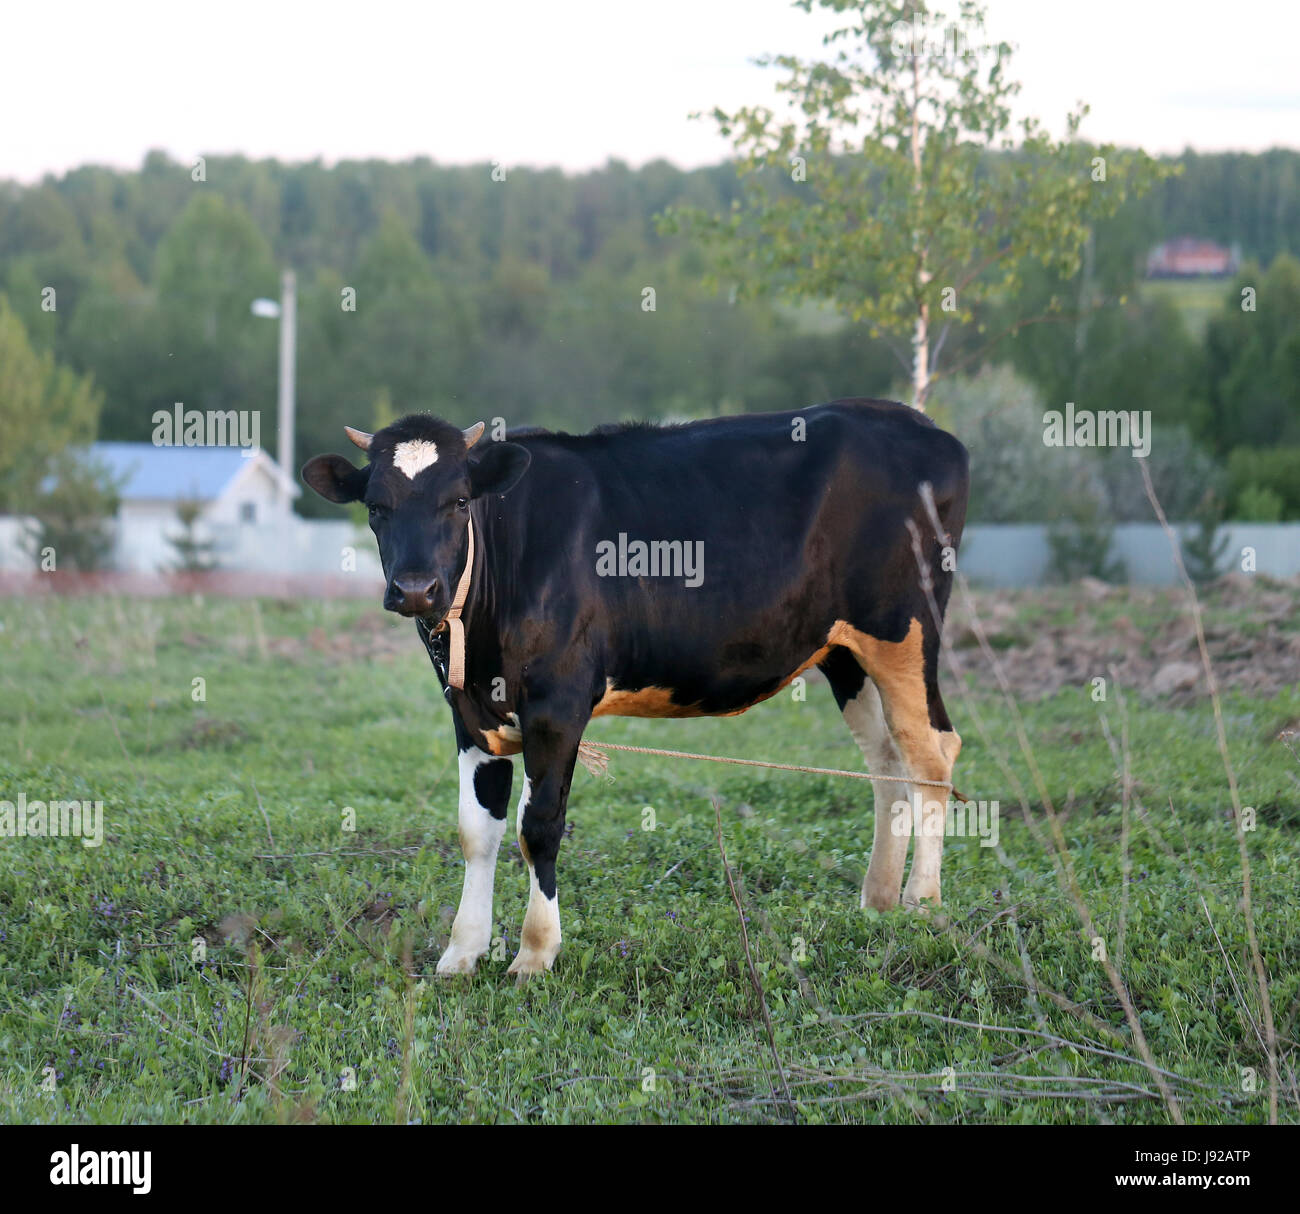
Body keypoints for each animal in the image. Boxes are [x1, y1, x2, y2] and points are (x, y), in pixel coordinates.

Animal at [301, 401, 969, 977]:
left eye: (460, 500)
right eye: (376, 506)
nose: (416, 589)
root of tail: (920, 425)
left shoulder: (558, 705)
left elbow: (538, 826)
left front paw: (535, 953)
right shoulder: (469, 714)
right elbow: (476, 831)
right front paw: (462, 952)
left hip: (906, 631)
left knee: (932, 753)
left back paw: (922, 903)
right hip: (845, 652)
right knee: (886, 760)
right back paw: (878, 899)